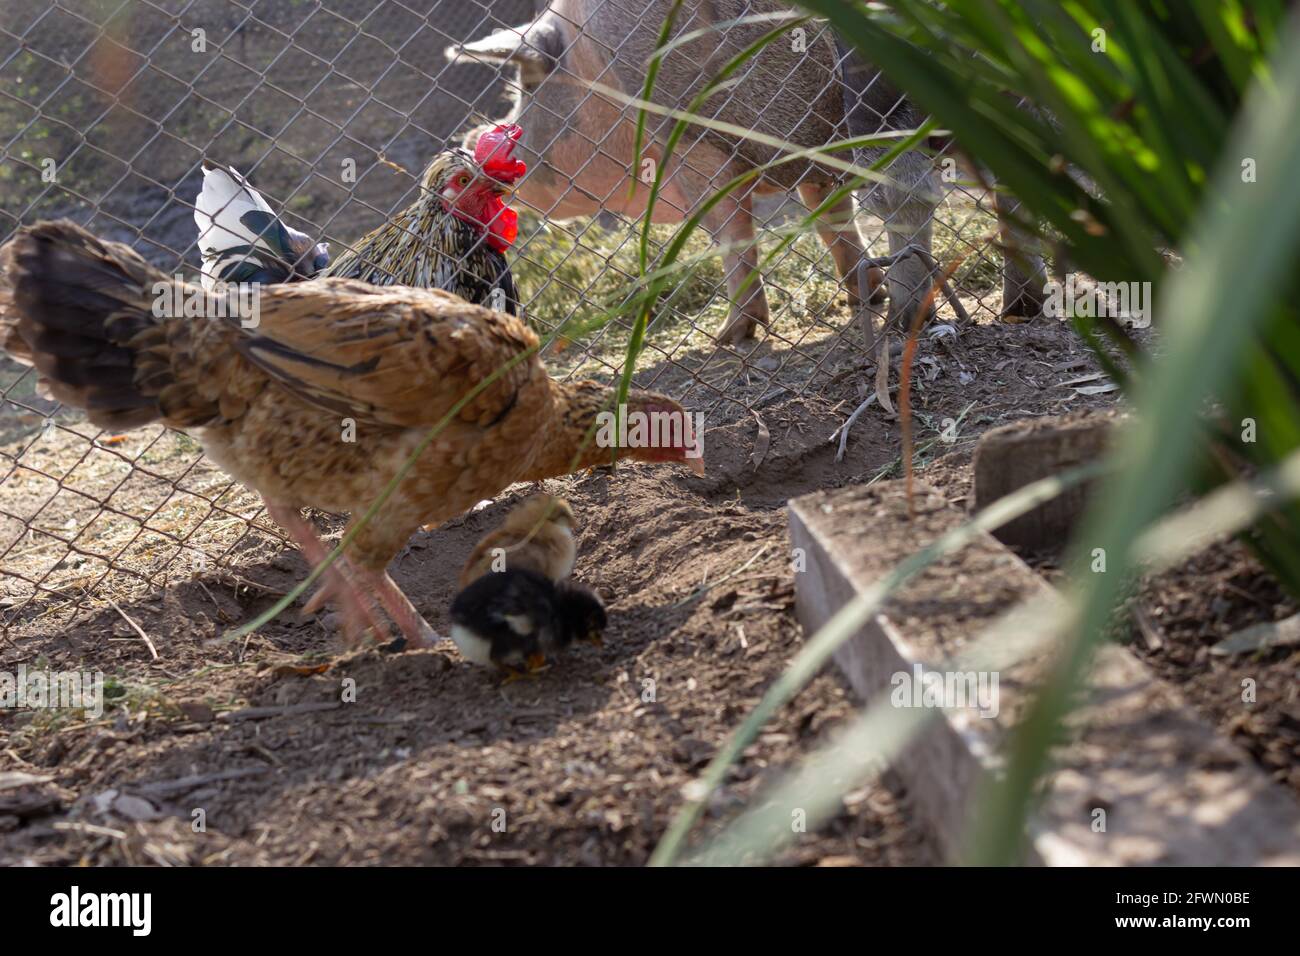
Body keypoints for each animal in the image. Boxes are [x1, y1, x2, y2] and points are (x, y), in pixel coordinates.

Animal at [448, 0, 1045, 345]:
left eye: (527, 87)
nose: (470, 142)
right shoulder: (814, 156)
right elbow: (831, 221)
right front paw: (861, 298)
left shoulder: (695, 145)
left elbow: (730, 234)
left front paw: (729, 338)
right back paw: (1021, 310)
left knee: (909, 196)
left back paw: (909, 320)